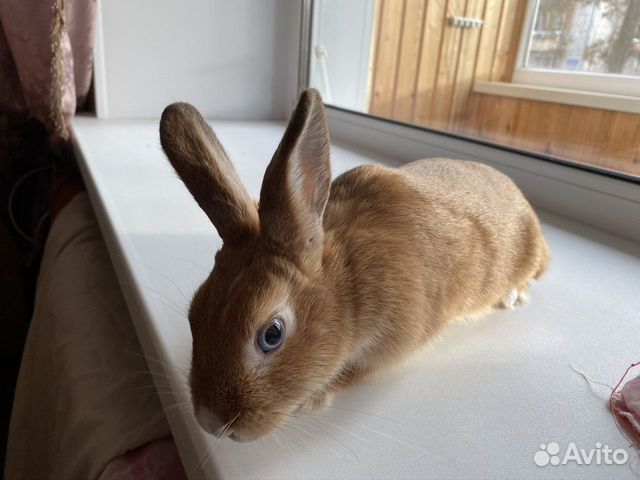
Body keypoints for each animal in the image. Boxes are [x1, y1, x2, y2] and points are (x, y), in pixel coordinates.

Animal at [159, 88, 549, 442]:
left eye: (271, 335)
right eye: (195, 313)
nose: (211, 424)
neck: (346, 283)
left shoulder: (392, 343)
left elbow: (356, 372)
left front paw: (311, 400)